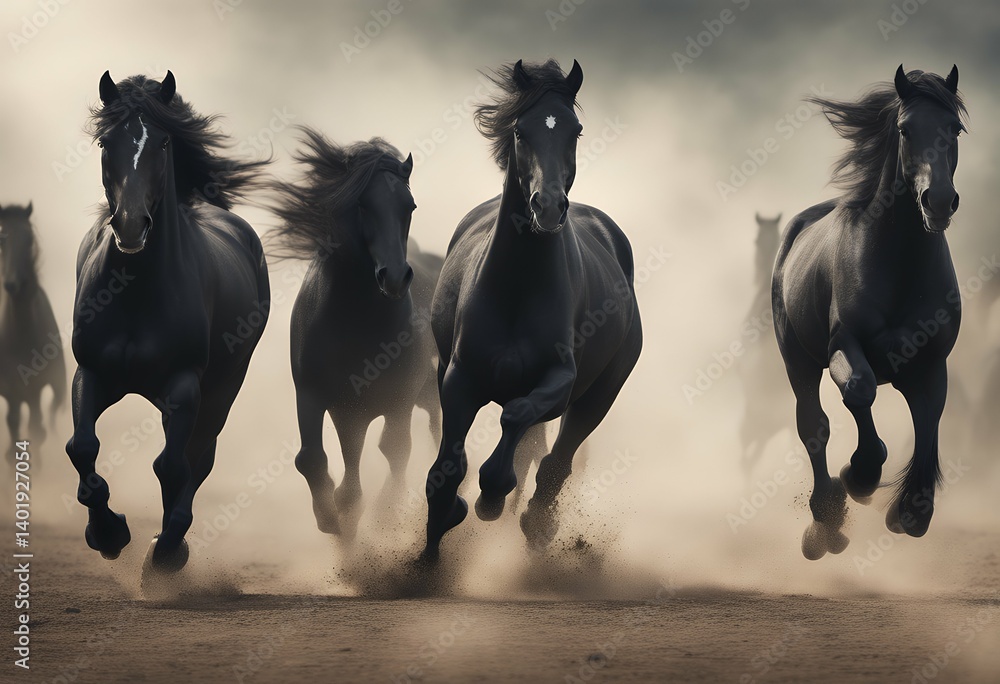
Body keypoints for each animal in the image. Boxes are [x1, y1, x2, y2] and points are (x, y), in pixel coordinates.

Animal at [0, 203, 65, 461]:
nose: (11, 284)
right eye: (1, 237)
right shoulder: (11, 391)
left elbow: (37, 431)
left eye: (29, 239)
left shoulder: (38, 386)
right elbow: (14, 428)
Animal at [66, 71, 270, 573]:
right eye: (105, 141)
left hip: (220, 389)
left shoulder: (184, 383)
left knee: (198, 456)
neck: (136, 293)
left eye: (161, 143)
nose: (131, 225)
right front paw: (107, 533)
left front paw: (165, 553)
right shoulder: (91, 372)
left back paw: (172, 541)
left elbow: (176, 465)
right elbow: (83, 447)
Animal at [268, 130, 443, 539]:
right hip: (355, 413)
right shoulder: (315, 398)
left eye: (409, 206)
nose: (394, 277)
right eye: (362, 204)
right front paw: (330, 517)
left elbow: (395, 451)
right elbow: (312, 460)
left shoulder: (398, 402)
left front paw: (383, 515)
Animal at [422, 59, 642, 562]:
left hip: (600, 395)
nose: (548, 205)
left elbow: (517, 416)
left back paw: (537, 525)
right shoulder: (459, 377)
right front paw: (431, 546)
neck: (517, 288)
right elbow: (446, 468)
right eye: (521, 131)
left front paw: (490, 493)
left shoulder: (559, 383)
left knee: (556, 461)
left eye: (575, 130)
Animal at [772, 65, 966, 560]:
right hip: (798, 361)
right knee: (814, 424)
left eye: (955, 129)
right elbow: (858, 392)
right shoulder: (845, 345)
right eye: (905, 129)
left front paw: (912, 512)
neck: (900, 266)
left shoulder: (930, 363)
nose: (938, 201)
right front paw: (860, 475)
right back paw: (826, 521)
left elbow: (929, 419)